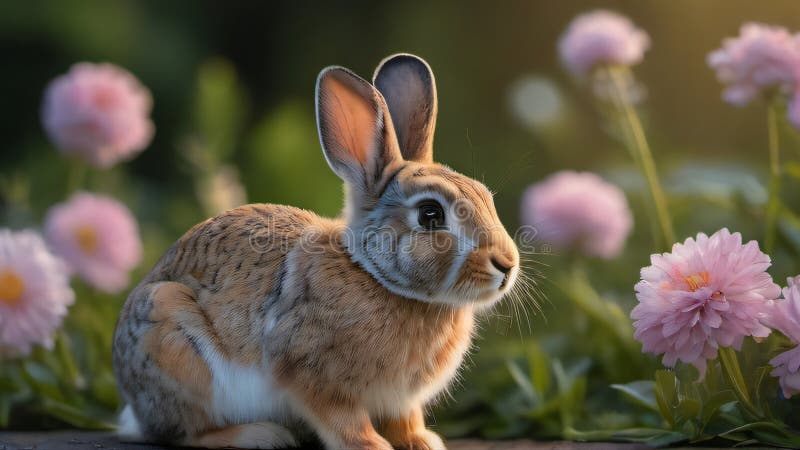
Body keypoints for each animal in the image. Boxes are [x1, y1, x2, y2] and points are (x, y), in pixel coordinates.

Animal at [112, 53, 520, 450]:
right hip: (176, 342)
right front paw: (371, 445)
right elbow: (342, 420)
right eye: (430, 214)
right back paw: (262, 436)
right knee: (184, 431)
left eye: (485, 197)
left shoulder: (400, 401)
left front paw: (423, 442)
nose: (506, 265)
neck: (377, 276)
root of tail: (133, 405)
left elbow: (405, 421)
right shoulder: (313, 374)